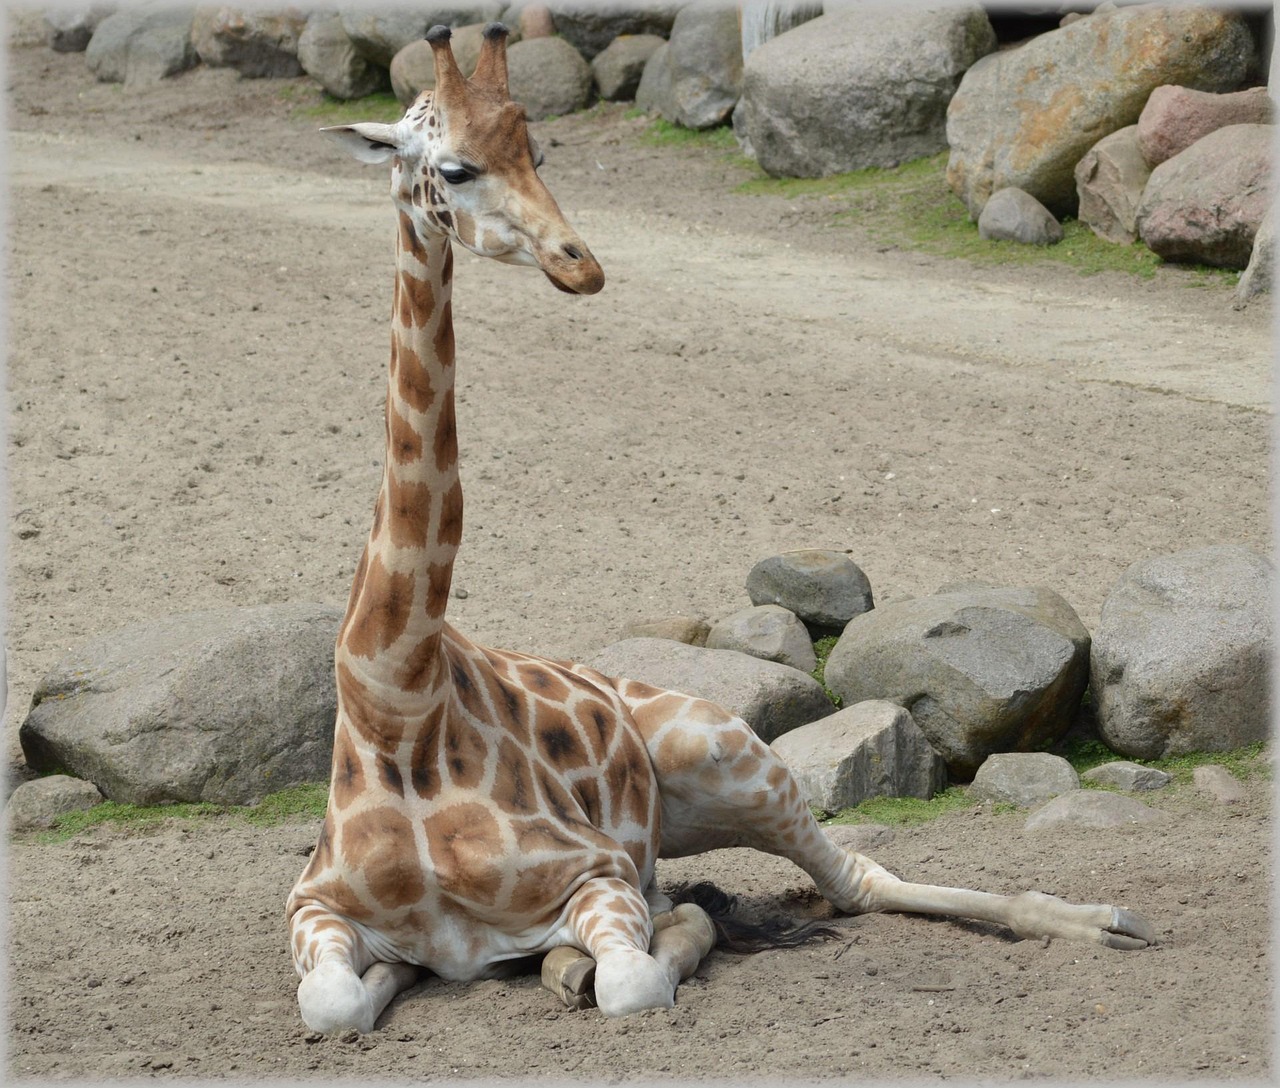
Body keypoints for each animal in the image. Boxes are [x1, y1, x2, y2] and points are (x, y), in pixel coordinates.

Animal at [286, 23, 1155, 1034]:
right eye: (455, 167)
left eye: (539, 151)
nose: (582, 263)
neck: (394, 700)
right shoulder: (313, 906)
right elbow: (337, 1001)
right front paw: (422, 973)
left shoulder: (599, 872)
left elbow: (633, 977)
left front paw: (647, 946)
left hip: (725, 753)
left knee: (854, 879)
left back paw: (1109, 922)